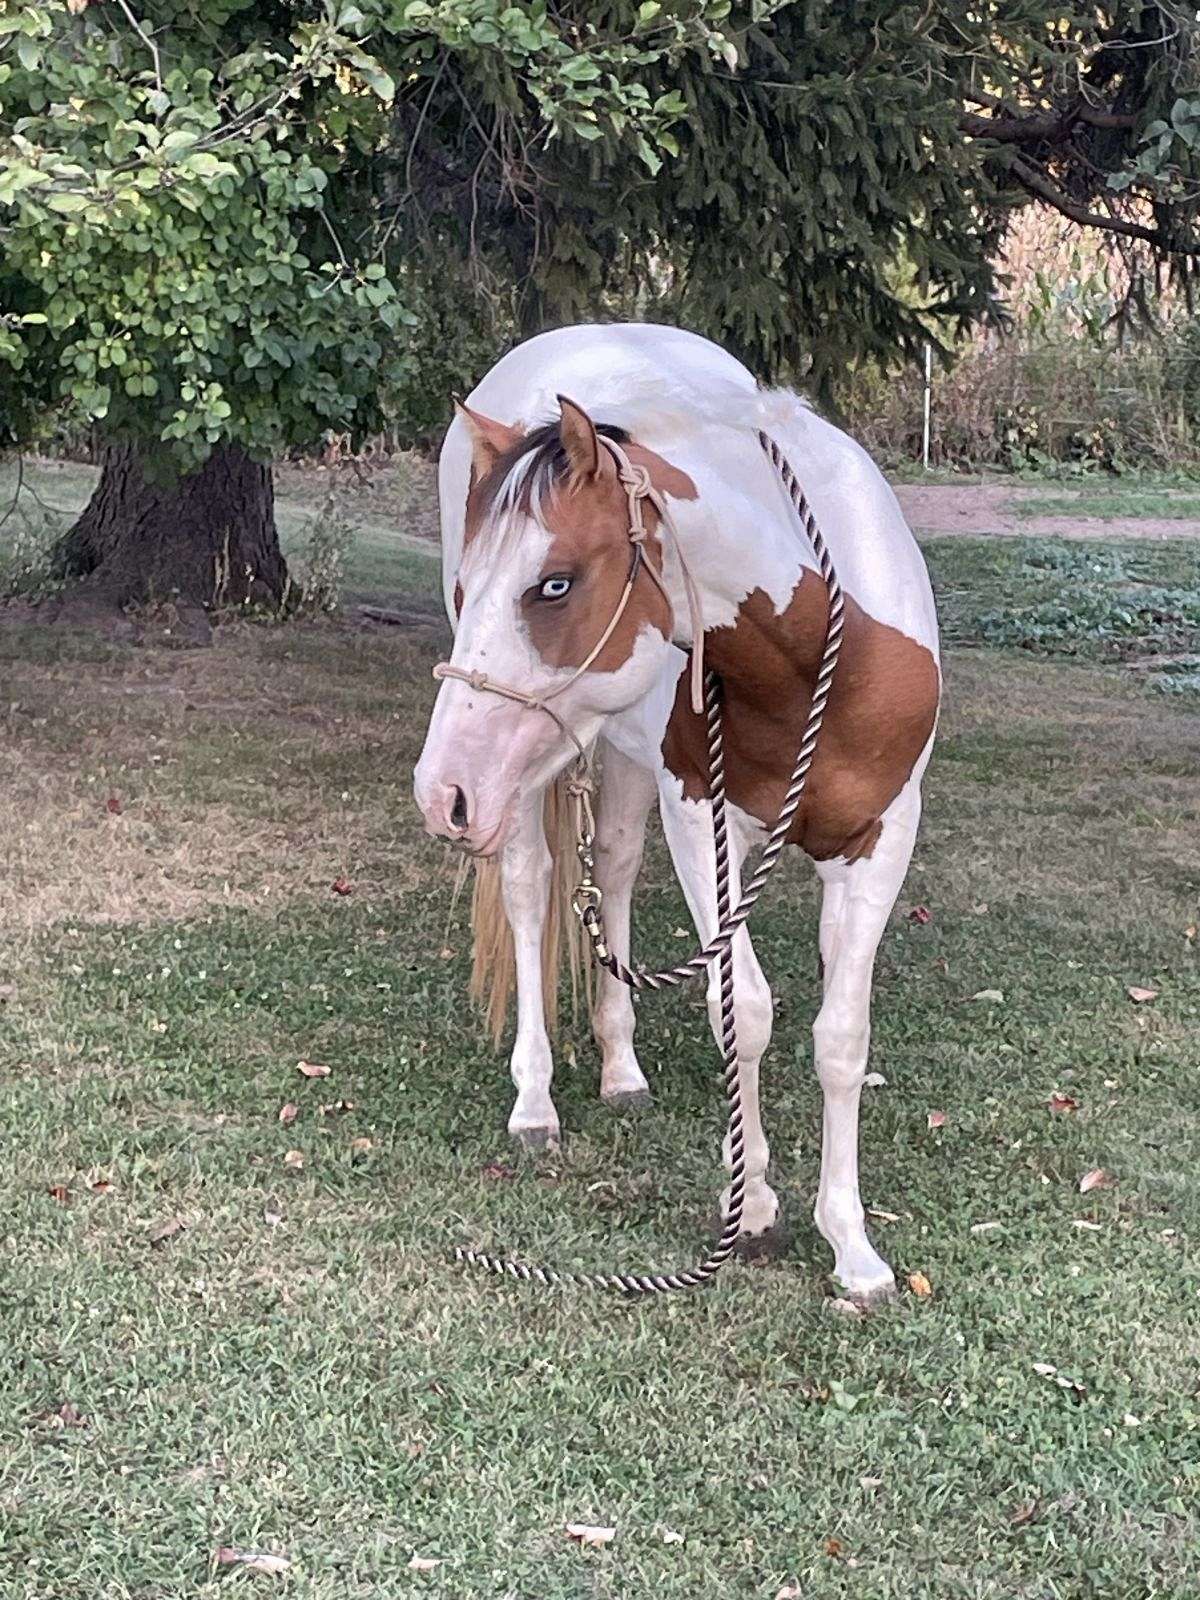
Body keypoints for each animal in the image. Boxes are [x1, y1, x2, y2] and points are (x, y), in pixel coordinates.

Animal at [413, 323, 940, 1300]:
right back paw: (535, 1101)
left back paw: (621, 1069)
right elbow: (747, 1013)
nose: (440, 791)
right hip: (529, 769)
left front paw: (851, 1246)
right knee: (532, 887)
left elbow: (842, 1037)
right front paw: (757, 1207)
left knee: (613, 867)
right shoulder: (704, 820)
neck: (816, 657)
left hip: (611, 753)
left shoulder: (881, 840)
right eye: (469, 588)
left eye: (554, 584)